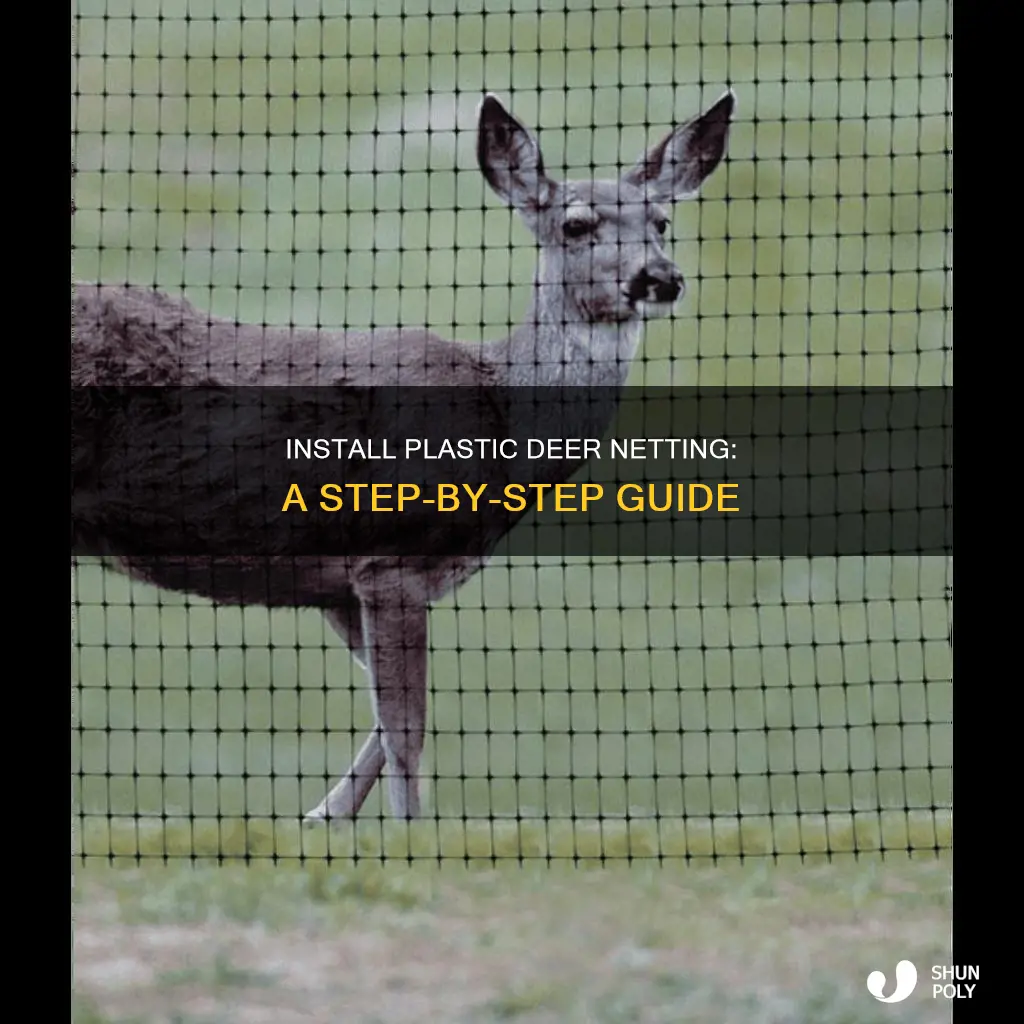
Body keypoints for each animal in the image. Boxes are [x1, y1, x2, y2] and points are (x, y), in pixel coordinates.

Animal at [71, 90, 735, 823]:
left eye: (662, 221)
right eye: (576, 224)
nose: (660, 279)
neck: (500, 417)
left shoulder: (340, 583)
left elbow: (385, 728)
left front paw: (323, 818)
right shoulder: (391, 558)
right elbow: (407, 734)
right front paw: (407, 834)